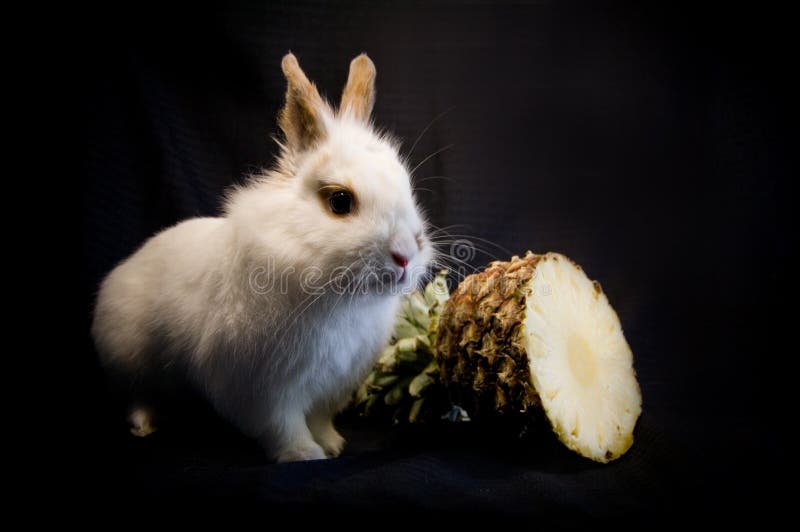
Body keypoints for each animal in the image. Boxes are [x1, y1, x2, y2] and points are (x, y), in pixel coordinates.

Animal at [92, 53, 433, 462]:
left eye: (407, 189)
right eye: (340, 201)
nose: (406, 255)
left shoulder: (331, 386)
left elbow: (318, 419)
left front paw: (332, 445)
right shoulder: (261, 389)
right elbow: (283, 427)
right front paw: (306, 454)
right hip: (130, 363)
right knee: (137, 397)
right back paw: (145, 426)